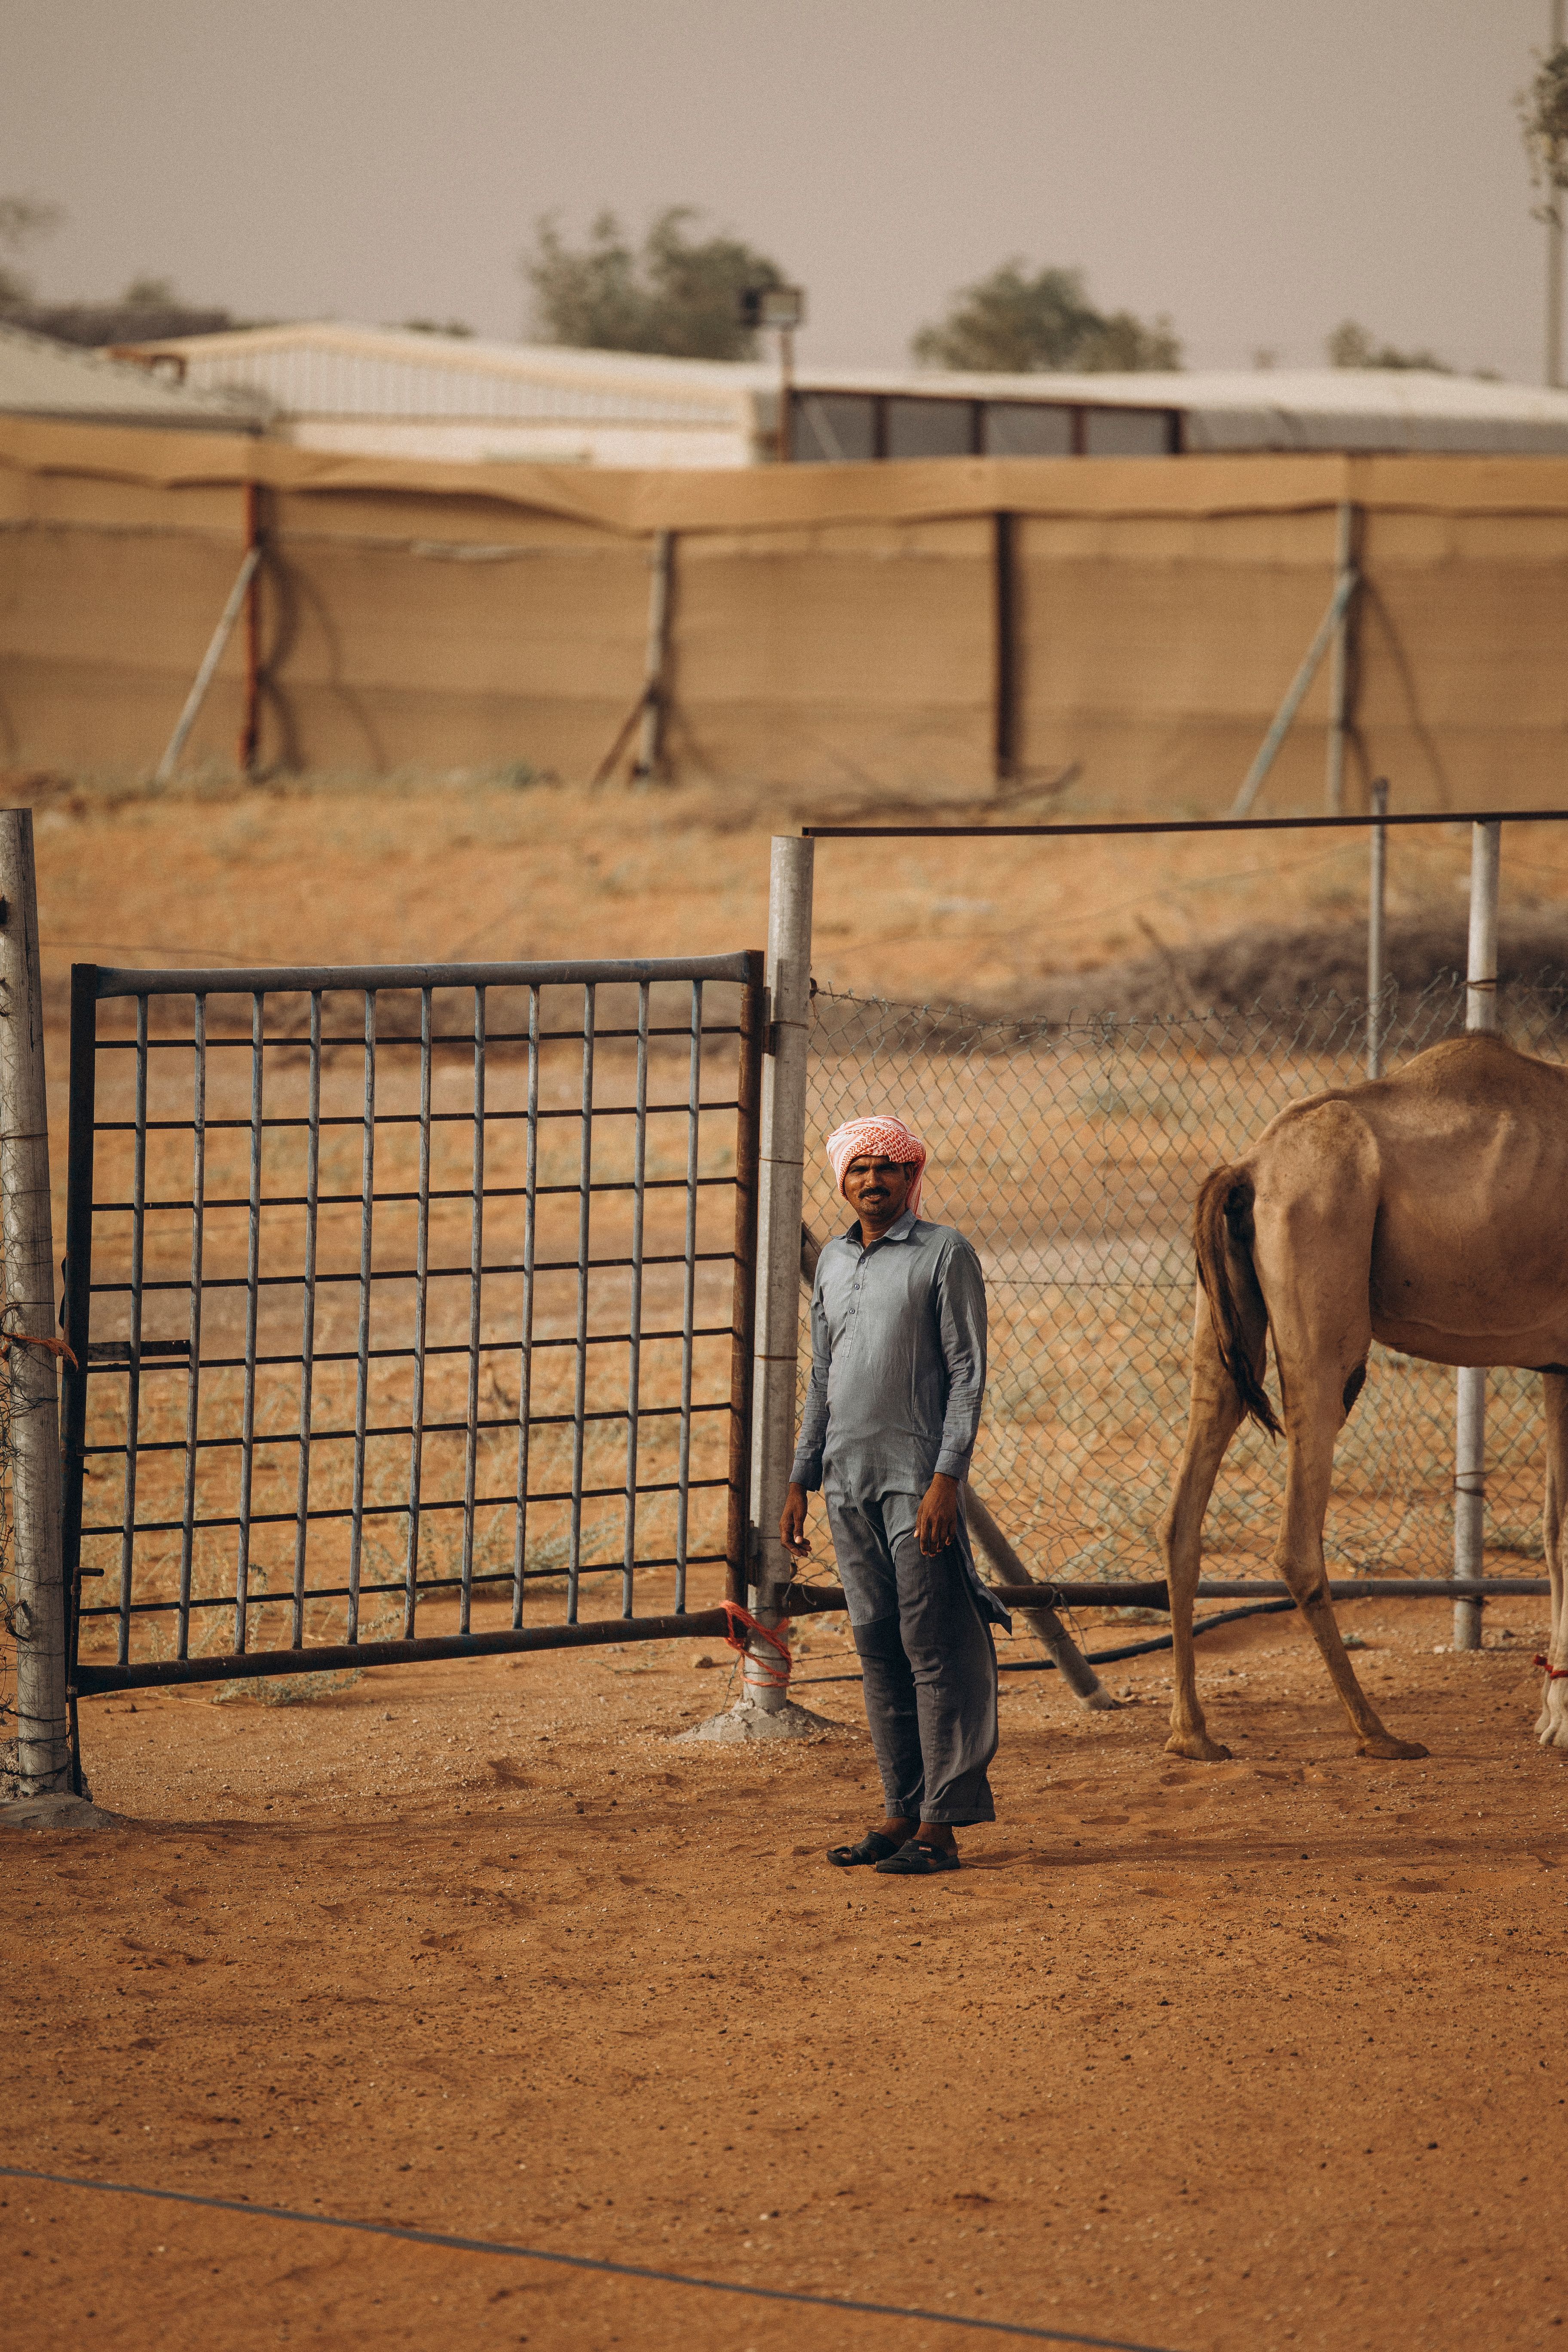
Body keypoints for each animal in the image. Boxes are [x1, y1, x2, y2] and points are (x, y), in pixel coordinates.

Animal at [1160, 1030, 1568, 1763]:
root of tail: (1249, 1167)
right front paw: (1564, 1723)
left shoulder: (1557, 1361)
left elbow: (1555, 1528)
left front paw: (1551, 1719)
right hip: (1327, 1311)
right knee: (1297, 1538)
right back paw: (1377, 1732)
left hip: (1220, 1329)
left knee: (1184, 1510)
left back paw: (1192, 1734)